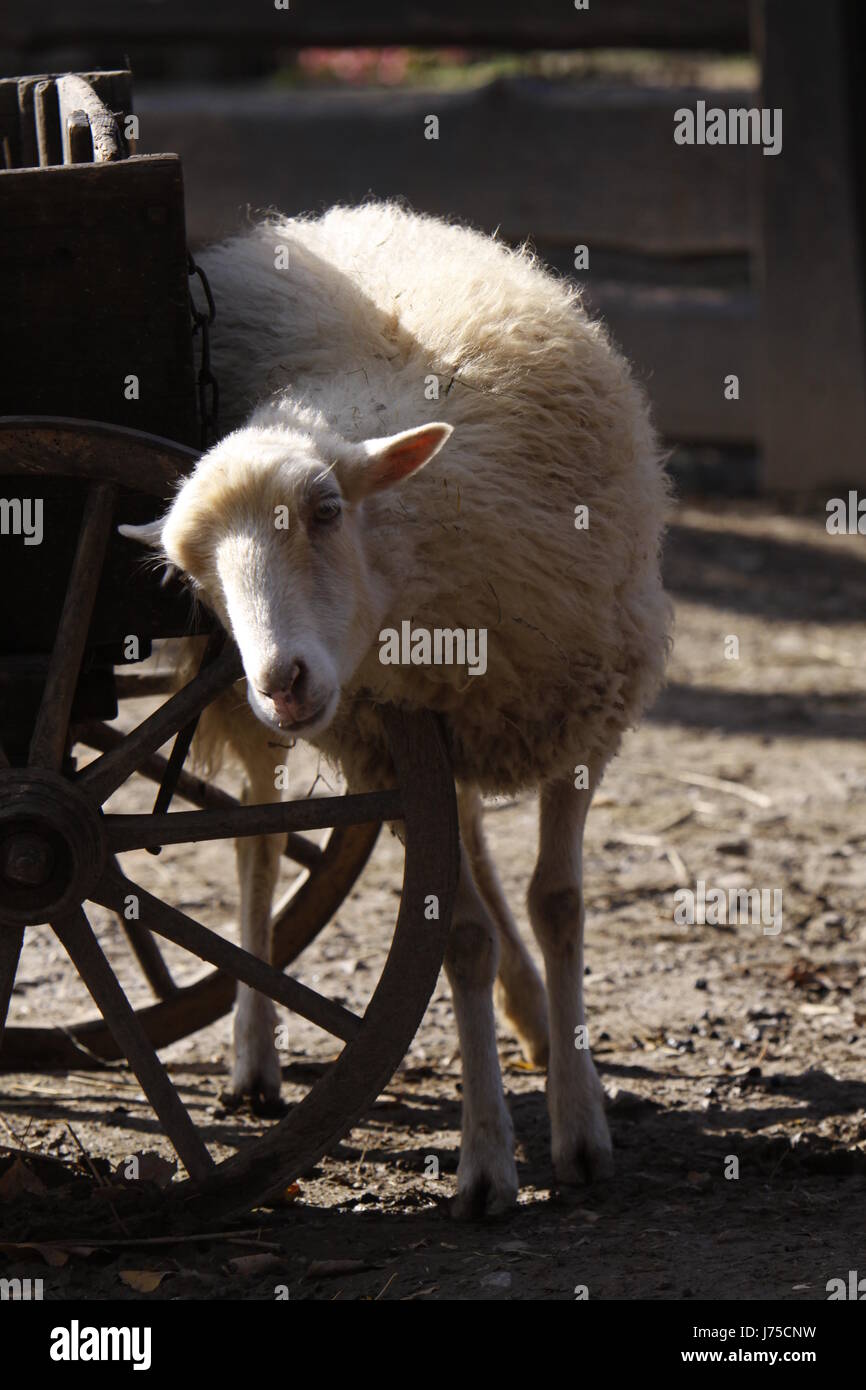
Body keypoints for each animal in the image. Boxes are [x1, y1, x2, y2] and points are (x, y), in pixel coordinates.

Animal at [123, 202, 671, 1216]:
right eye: (190, 573)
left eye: (328, 509)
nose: (282, 681)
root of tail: (321, 218)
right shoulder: (403, 736)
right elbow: (455, 936)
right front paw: (487, 1162)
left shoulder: (573, 710)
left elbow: (560, 904)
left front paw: (582, 1128)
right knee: (259, 842)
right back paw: (255, 1058)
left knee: (479, 852)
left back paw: (537, 1019)